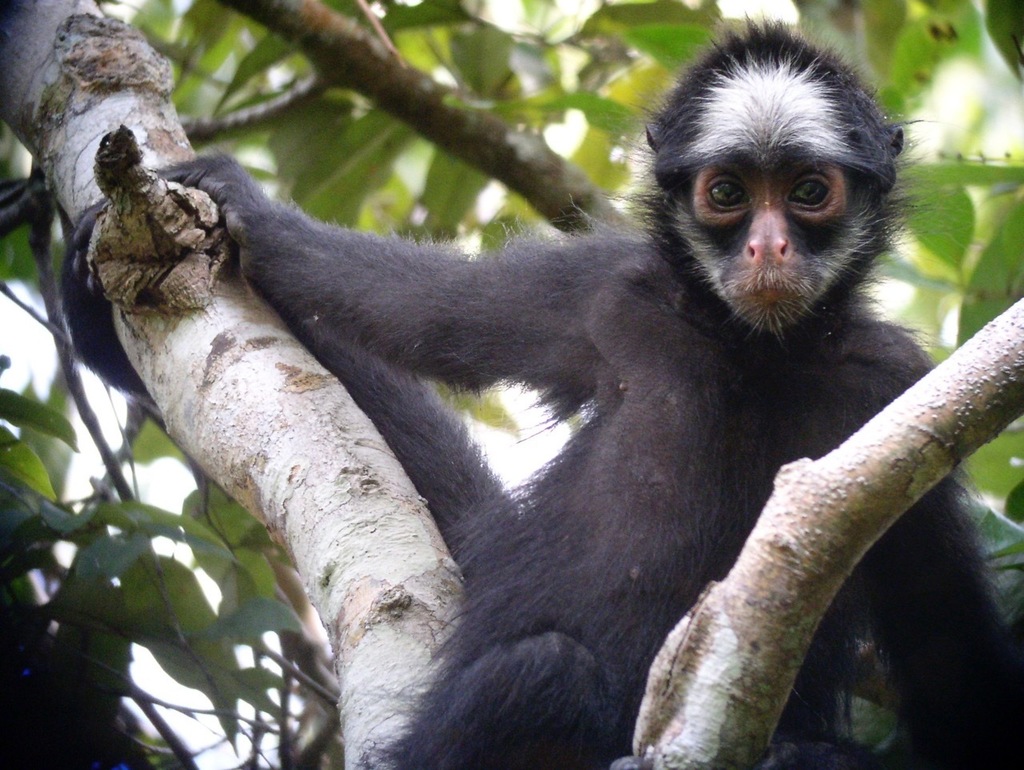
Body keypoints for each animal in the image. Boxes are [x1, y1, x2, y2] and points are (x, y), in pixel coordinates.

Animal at [63, 22, 1024, 770]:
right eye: (727, 195)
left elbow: (949, 655)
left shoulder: (892, 382)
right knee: (547, 672)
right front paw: (248, 205)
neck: (756, 351)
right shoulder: (609, 293)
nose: (767, 249)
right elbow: (422, 311)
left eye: (808, 193)